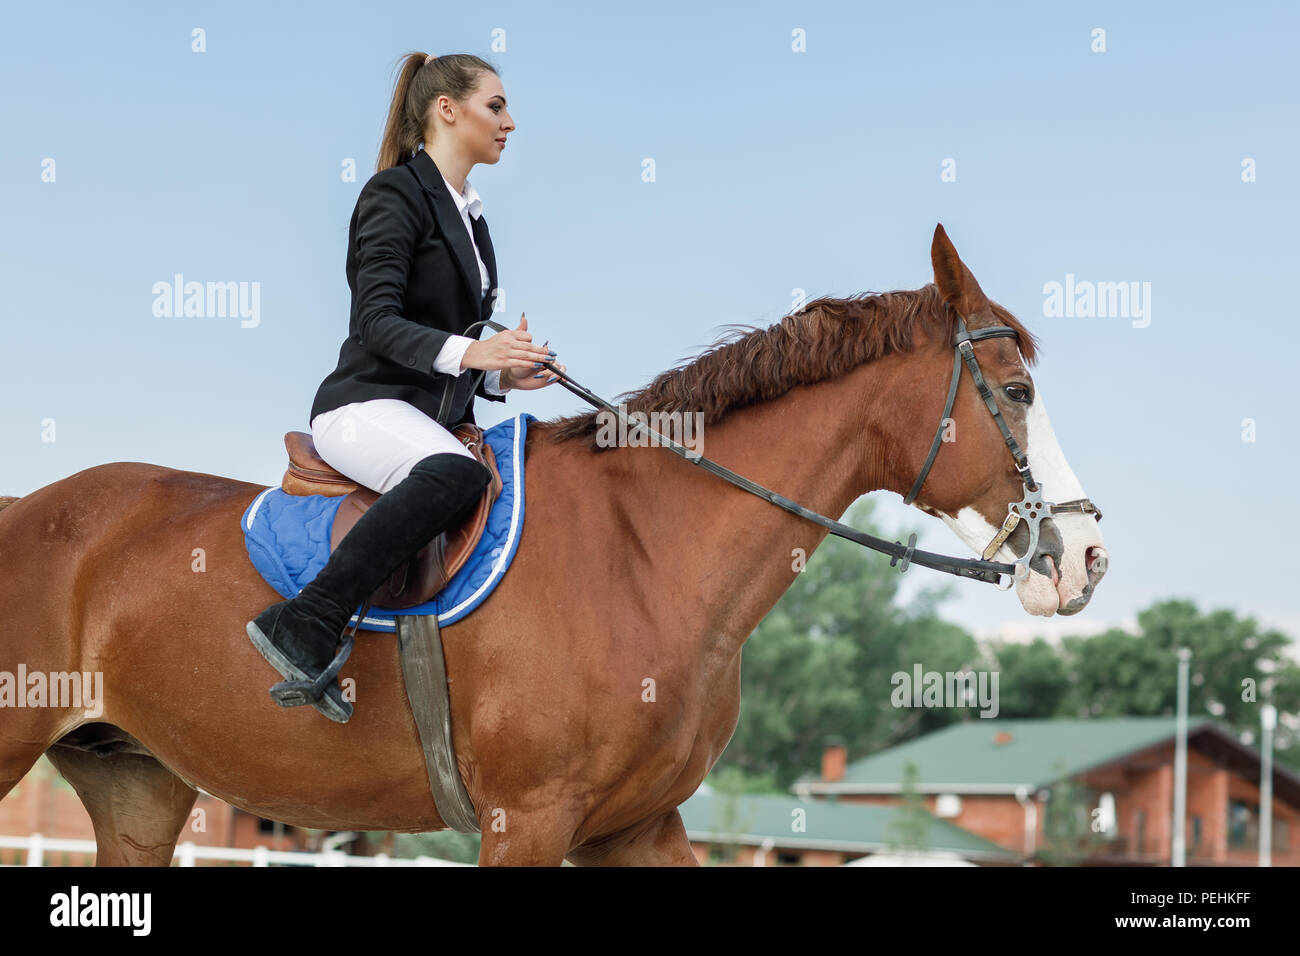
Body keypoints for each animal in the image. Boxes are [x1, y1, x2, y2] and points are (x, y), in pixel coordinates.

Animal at [0, 225, 1106, 866]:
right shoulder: (526, 818)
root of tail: (31, 506)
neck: (647, 553)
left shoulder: (636, 823)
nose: (1086, 559)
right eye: (1016, 391)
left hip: (139, 787)